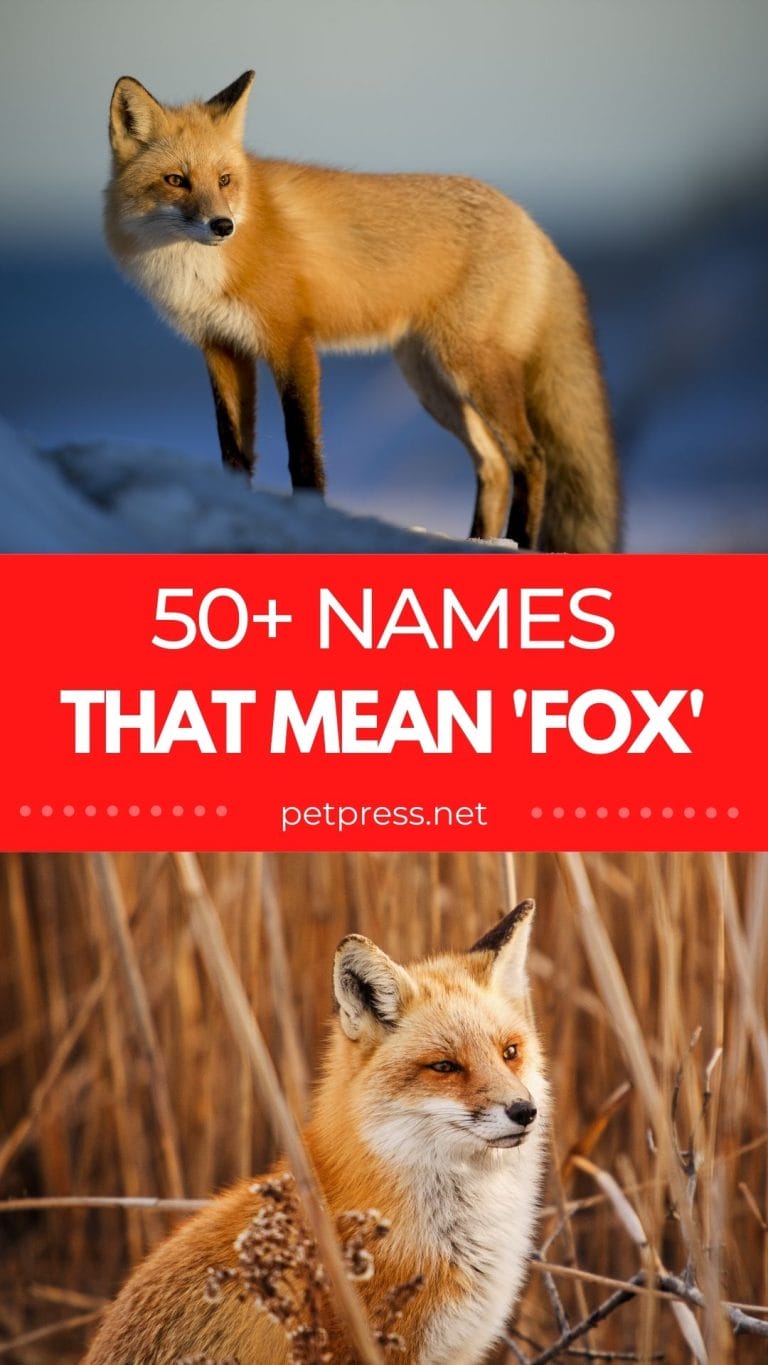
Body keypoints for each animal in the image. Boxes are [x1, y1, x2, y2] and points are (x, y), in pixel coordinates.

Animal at [104, 71, 620, 552]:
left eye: (225, 180)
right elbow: (234, 452)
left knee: (532, 458)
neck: (199, 271)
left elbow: (303, 453)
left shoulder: (292, 343)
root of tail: (531, 224)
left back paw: (518, 543)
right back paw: (479, 541)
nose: (223, 225)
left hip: (472, 369)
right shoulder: (222, 348)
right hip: (431, 382)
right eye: (176, 180)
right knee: (493, 464)